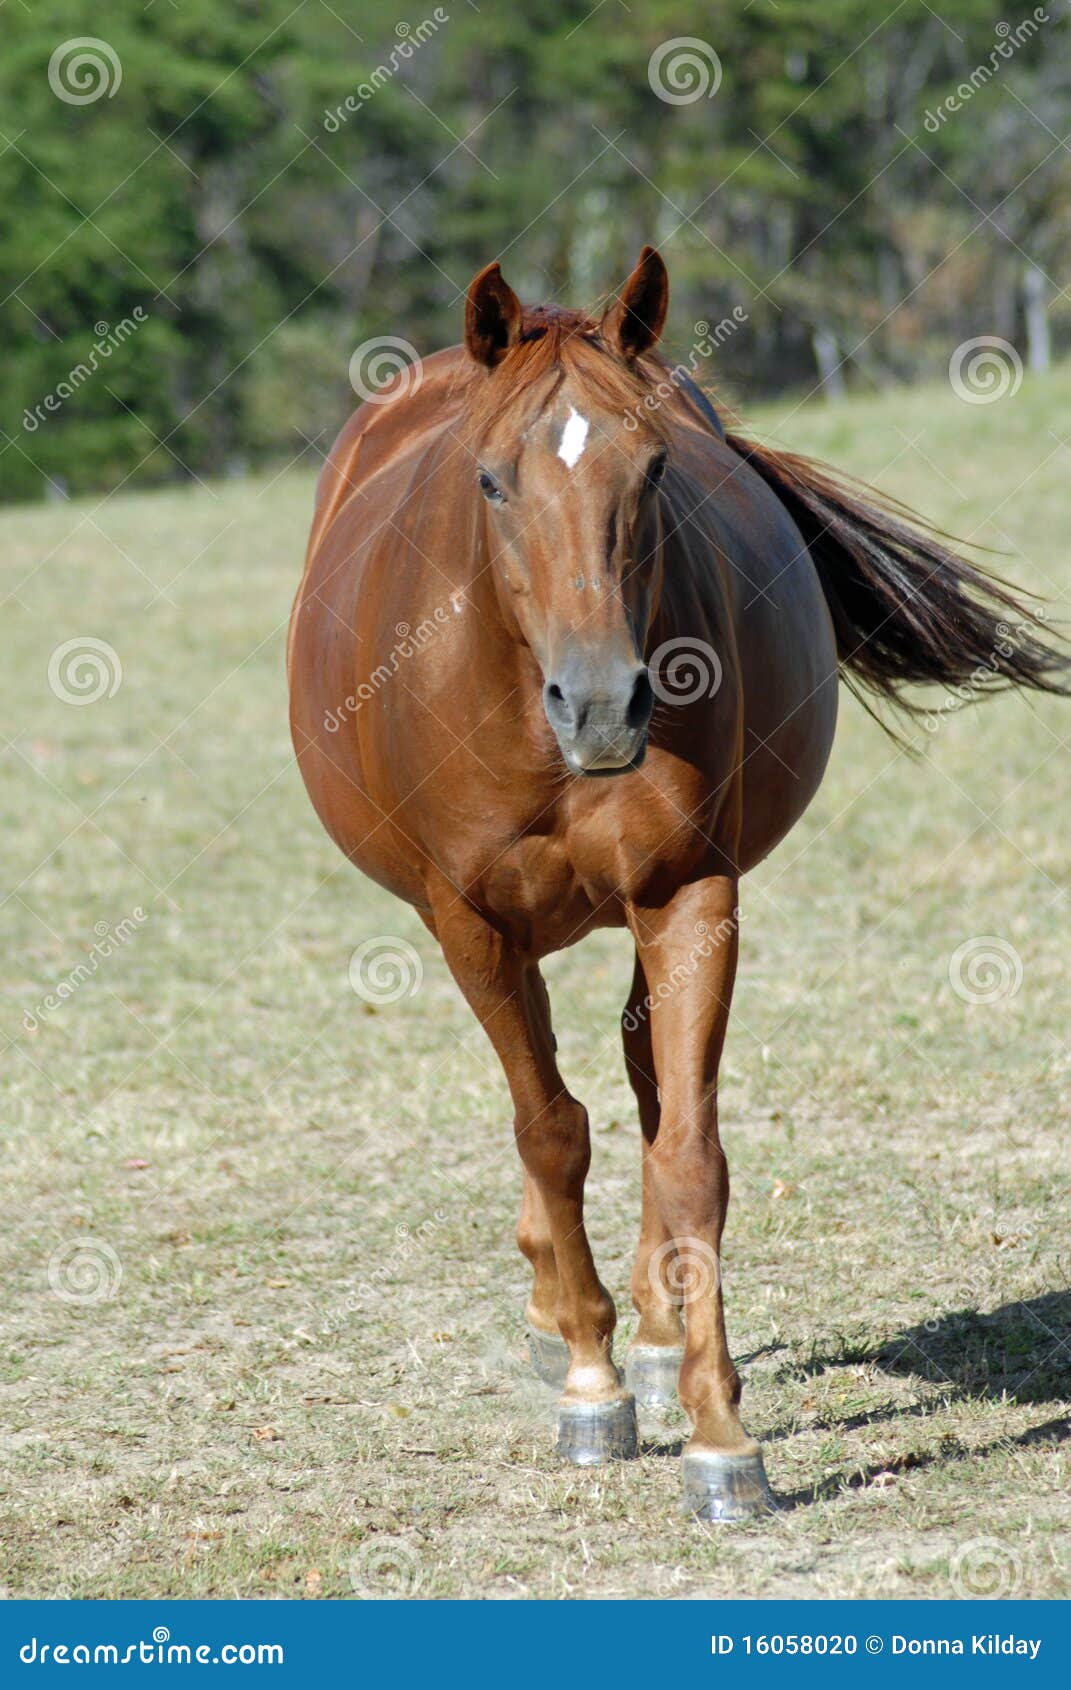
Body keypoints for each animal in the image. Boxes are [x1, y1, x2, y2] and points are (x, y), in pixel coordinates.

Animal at [288, 247, 1068, 1520]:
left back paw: (655, 1334)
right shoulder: (470, 923)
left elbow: (688, 1152)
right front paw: (590, 1383)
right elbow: (551, 1132)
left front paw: (715, 1433)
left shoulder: (690, 892)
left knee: (648, 1083)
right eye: (491, 481)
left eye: (653, 469)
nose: (603, 705)